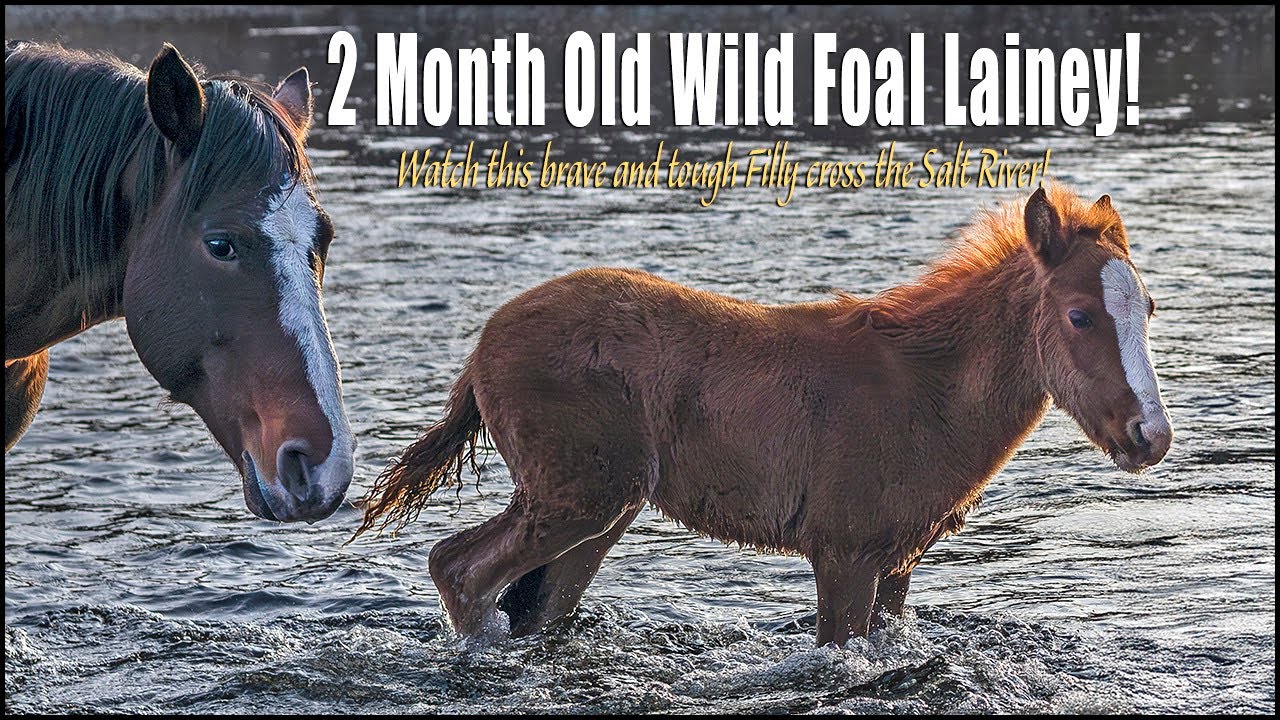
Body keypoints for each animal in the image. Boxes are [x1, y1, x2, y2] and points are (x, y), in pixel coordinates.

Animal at [356, 185, 1173, 646]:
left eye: (1149, 307)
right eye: (1078, 315)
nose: (1151, 436)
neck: (927, 393)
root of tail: (479, 354)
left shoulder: (898, 561)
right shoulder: (844, 552)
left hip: (601, 507)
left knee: (533, 606)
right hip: (577, 493)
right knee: (458, 568)